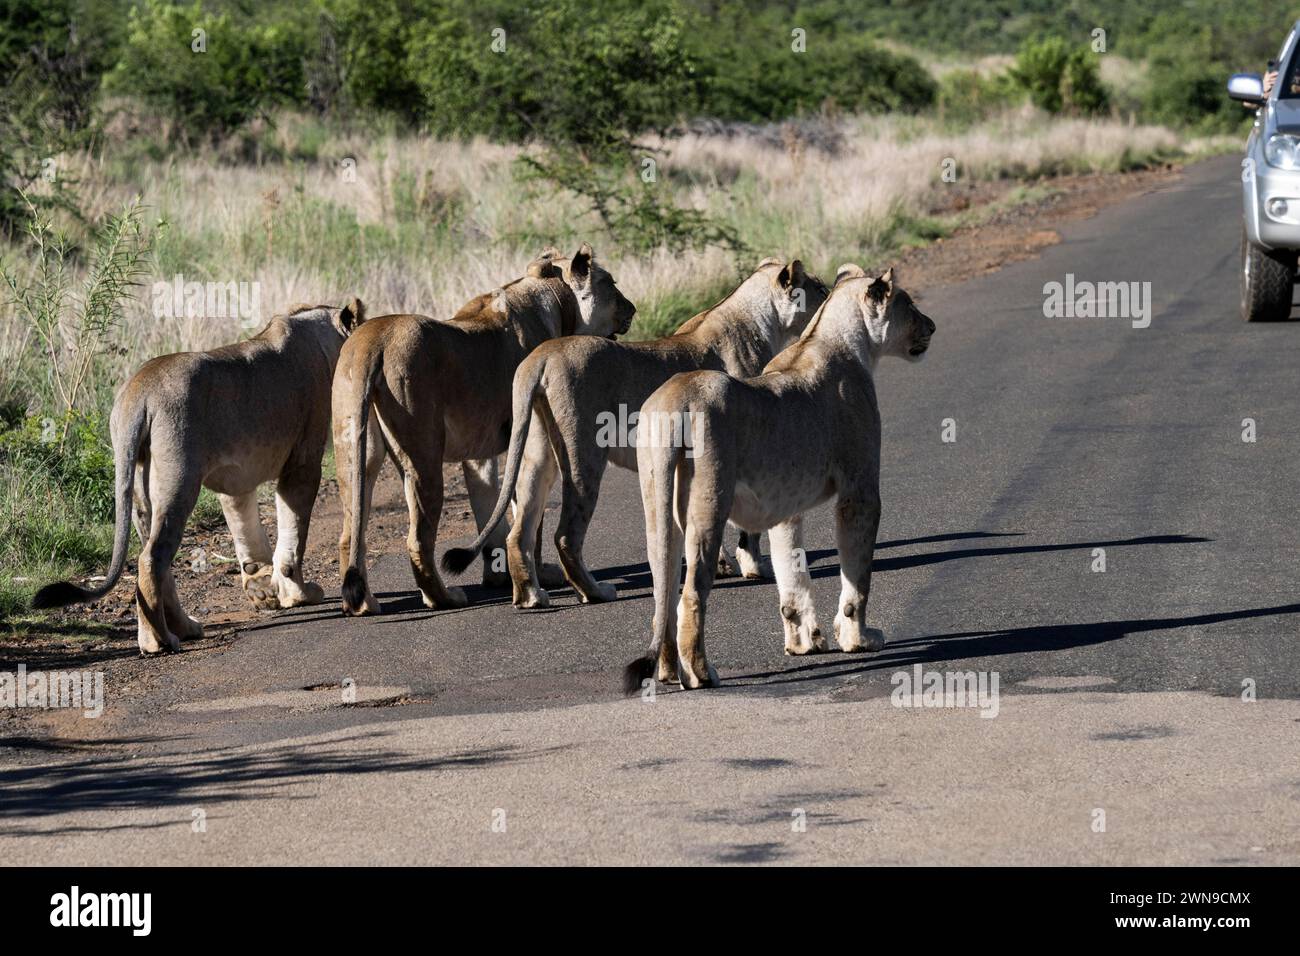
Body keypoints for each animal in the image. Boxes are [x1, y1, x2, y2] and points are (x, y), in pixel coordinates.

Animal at [32, 301, 368, 654]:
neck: (321, 338)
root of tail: (138, 391)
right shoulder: (303, 462)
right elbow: (293, 534)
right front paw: (297, 594)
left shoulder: (235, 480)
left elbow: (246, 527)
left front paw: (264, 585)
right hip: (179, 478)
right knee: (151, 558)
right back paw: (158, 641)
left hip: (137, 487)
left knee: (157, 562)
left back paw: (185, 628)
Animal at [335, 244, 635, 616]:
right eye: (610, 283)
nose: (633, 309)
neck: (553, 299)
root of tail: (373, 340)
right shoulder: (525, 432)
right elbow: (527, 514)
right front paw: (538, 575)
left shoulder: (479, 450)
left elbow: (489, 506)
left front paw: (499, 576)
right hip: (423, 457)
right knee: (418, 539)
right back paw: (444, 597)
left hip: (355, 455)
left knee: (350, 532)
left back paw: (363, 604)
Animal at [441, 258, 828, 608]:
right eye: (820, 289)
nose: (828, 302)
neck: (763, 324)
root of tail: (542, 355)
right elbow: (748, 527)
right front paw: (753, 567)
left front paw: (721, 565)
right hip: (584, 454)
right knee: (565, 534)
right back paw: (594, 592)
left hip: (538, 454)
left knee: (519, 530)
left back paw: (530, 596)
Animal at [624, 266, 935, 691]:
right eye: (908, 305)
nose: (932, 326)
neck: (836, 338)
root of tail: (676, 400)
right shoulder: (859, 492)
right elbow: (857, 576)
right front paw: (858, 638)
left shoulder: (786, 504)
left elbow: (792, 573)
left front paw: (805, 643)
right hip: (709, 503)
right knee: (691, 593)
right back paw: (701, 673)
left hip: (657, 505)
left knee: (663, 590)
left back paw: (670, 670)